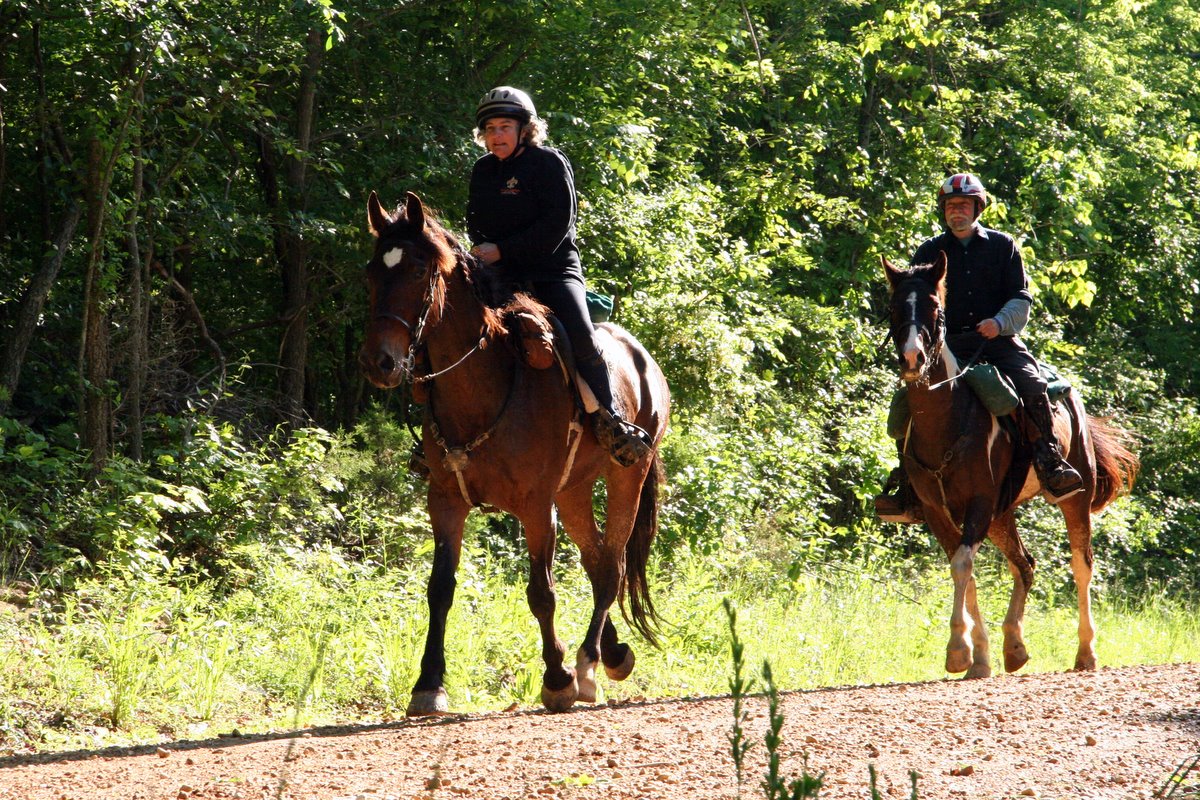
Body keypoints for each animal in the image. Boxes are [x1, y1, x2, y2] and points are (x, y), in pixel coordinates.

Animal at [358, 191, 671, 715]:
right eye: (372, 271)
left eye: (419, 271)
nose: (380, 362)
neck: (485, 386)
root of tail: (644, 358)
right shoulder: (446, 502)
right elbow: (439, 589)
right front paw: (429, 683)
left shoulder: (536, 507)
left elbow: (541, 592)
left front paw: (557, 678)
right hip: (574, 491)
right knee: (595, 560)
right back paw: (611, 653)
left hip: (628, 474)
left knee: (612, 567)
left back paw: (588, 664)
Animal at [883, 254, 1137, 678]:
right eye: (894, 306)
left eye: (934, 306)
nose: (912, 358)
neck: (947, 421)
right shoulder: (938, 511)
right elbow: (964, 569)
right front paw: (978, 658)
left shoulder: (979, 505)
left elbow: (962, 565)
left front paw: (958, 650)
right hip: (1002, 518)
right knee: (1025, 565)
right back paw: (1014, 646)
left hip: (1075, 498)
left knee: (1081, 565)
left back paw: (1085, 653)